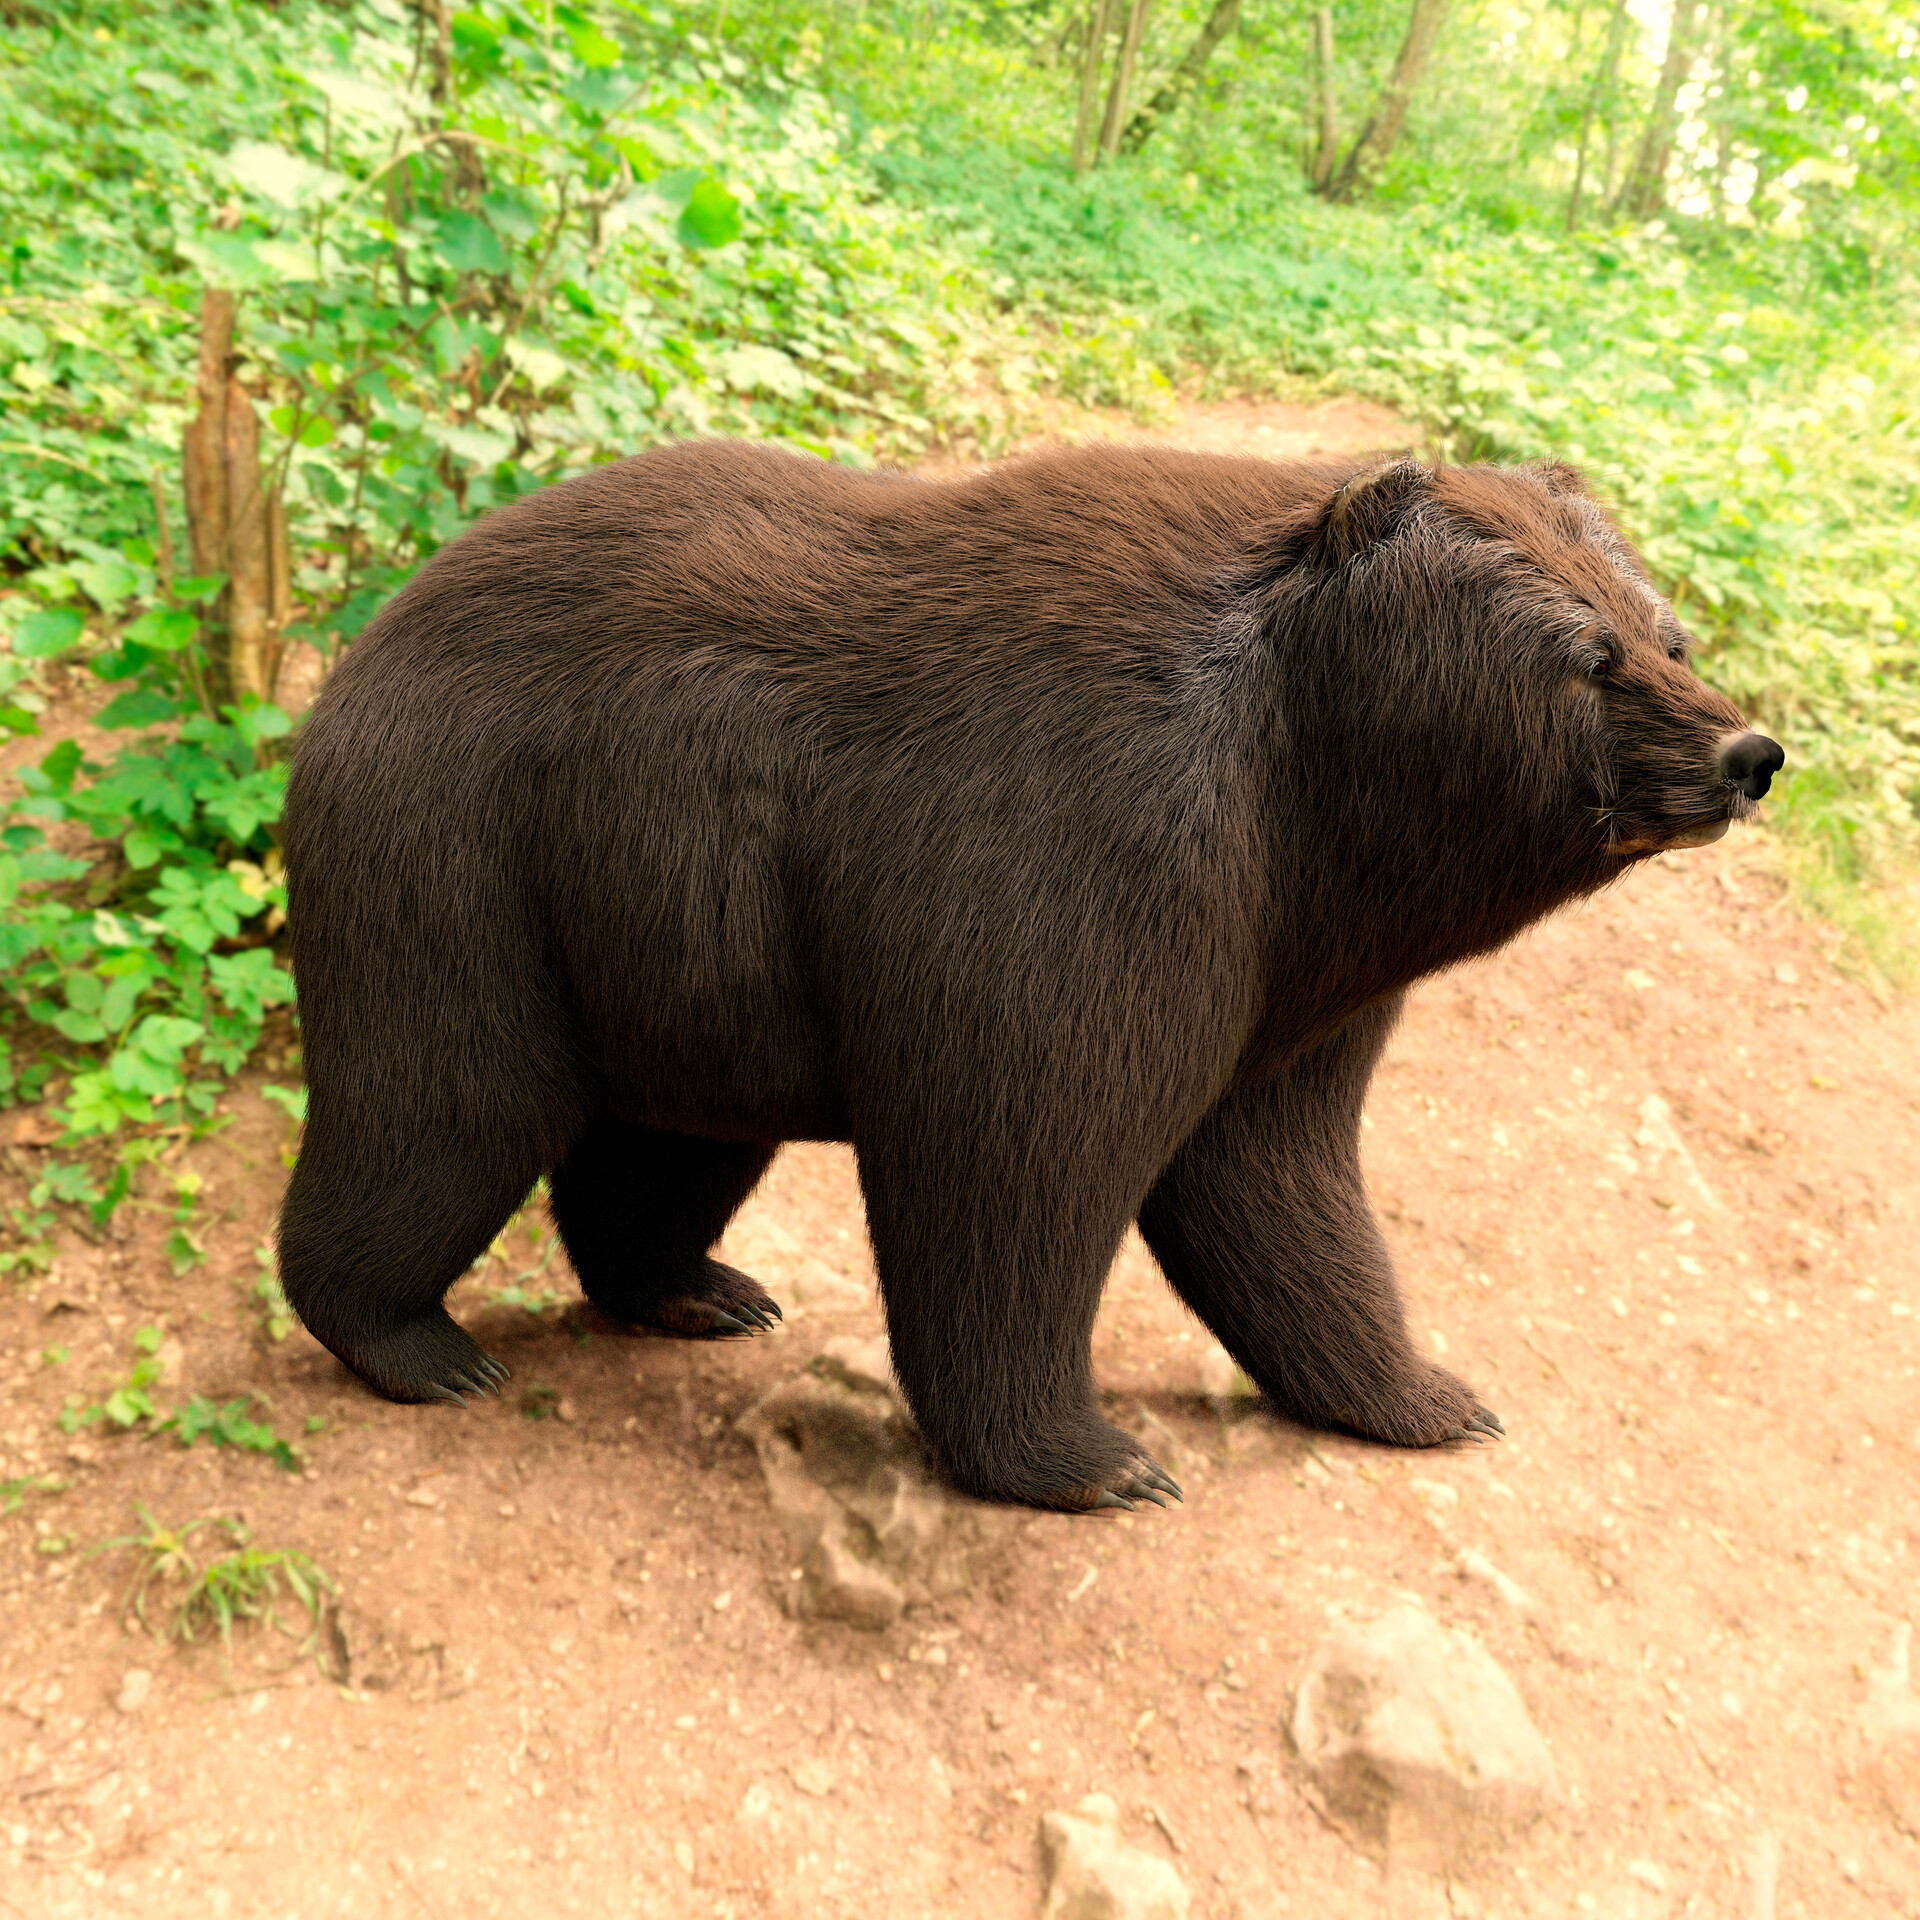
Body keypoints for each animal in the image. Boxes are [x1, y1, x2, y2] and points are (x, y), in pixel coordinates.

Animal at [277, 440, 1784, 1513]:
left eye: (1670, 631)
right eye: (1587, 655)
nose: (1747, 752)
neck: (1315, 799)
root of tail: (356, 646)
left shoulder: (1295, 961)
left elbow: (1282, 1173)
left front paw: (1430, 1394)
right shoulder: (1081, 858)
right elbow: (1021, 1164)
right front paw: (1101, 1460)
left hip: (672, 937)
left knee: (668, 1139)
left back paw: (700, 1288)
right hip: (466, 855)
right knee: (443, 1103)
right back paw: (422, 1346)